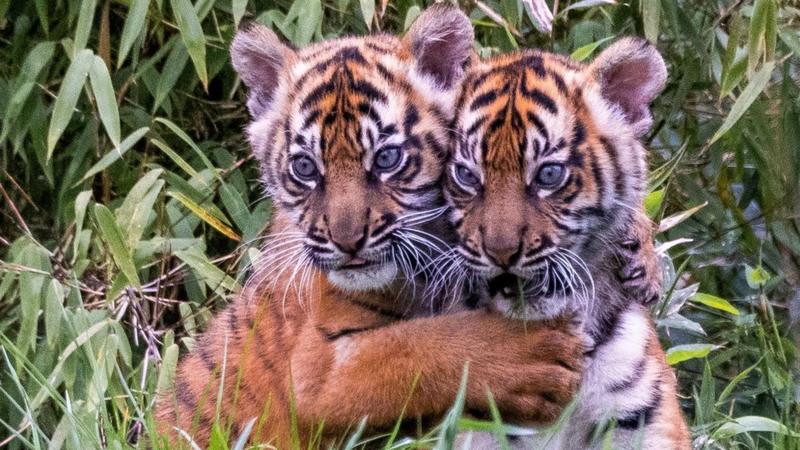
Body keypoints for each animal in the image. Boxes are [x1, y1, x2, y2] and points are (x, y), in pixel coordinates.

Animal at [153, 6, 586, 448]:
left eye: (386, 158)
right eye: (305, 167)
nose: (347, 241)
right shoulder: (315, 371)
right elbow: (409, 349)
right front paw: (537, 353)